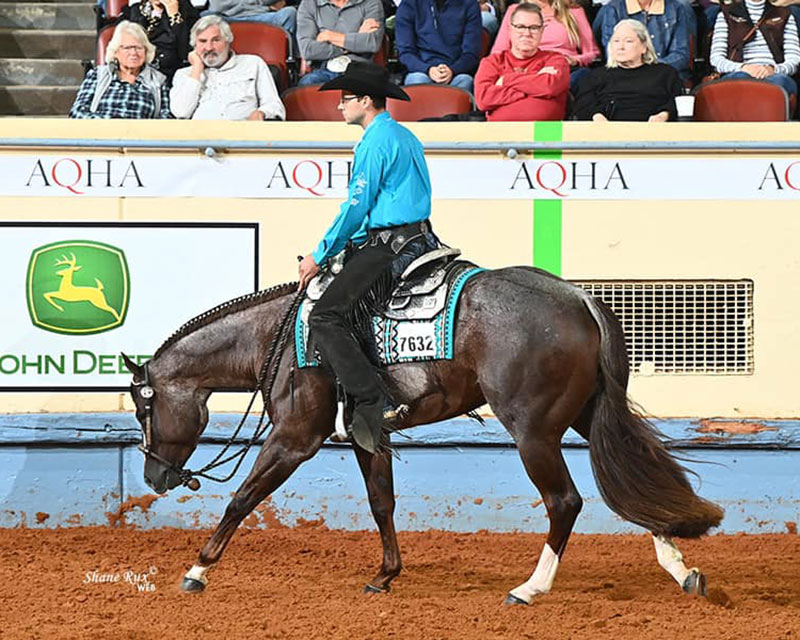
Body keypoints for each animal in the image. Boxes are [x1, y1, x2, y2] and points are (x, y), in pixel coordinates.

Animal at [122, 265, 723, 604]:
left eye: (142, 406)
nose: (154, 474)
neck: (275, 337)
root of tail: (580, 299)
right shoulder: (367, 436)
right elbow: (381, 503)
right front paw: (385, 576)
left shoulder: (295, 438)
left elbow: (242, 499)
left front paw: (197, 570)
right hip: (585, 412)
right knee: (636, 476)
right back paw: (682, 569)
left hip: (533, 431)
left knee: (566, 502)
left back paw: (530, 588)